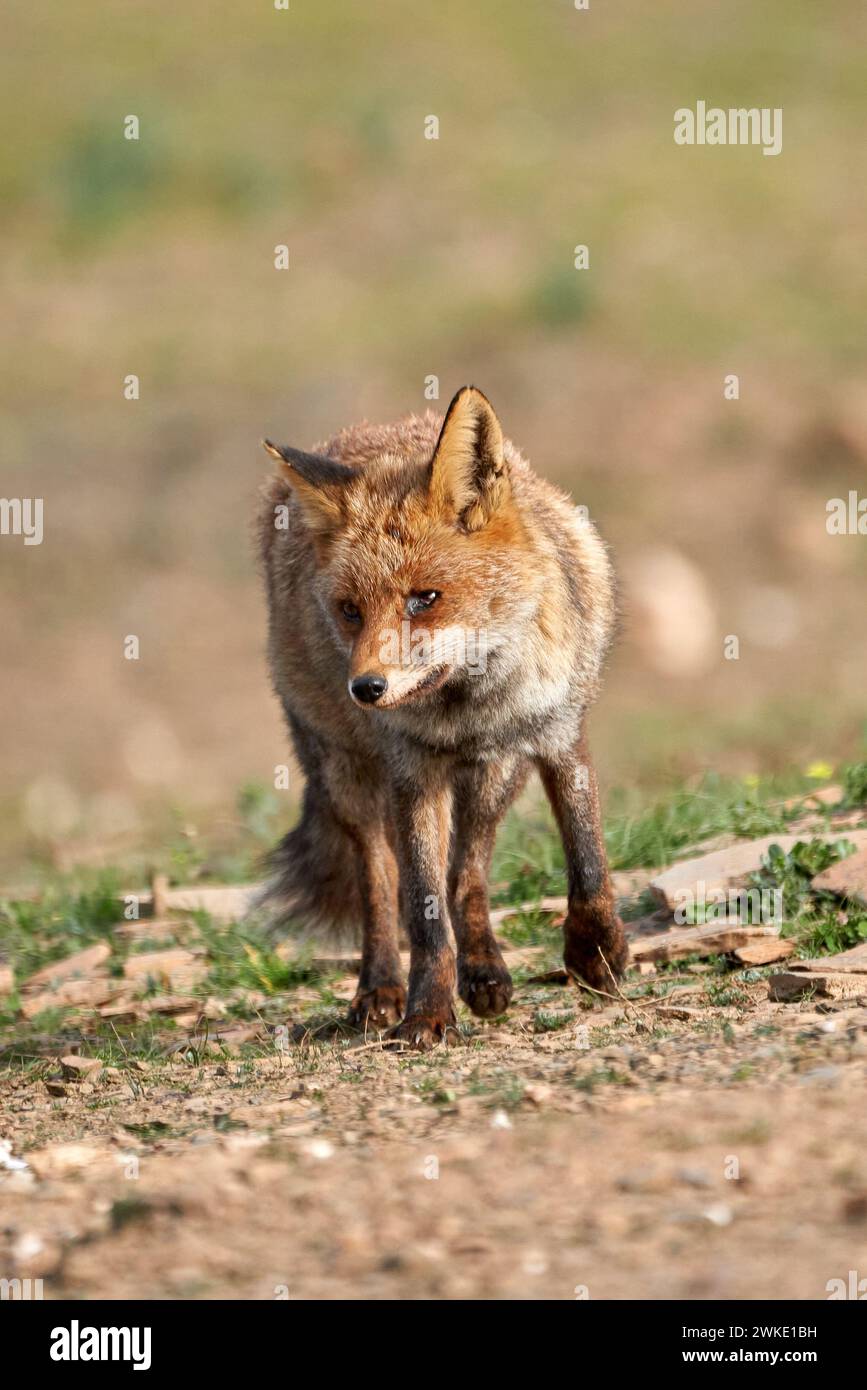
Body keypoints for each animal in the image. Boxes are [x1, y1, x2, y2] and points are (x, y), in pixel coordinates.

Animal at [257, 385, 628, 1049]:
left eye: (424, 599)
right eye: (351, 611)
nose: (366, 688)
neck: (468, 707)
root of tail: (366, 432)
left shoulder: (557, 734)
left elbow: (586, 863)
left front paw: (596, 955)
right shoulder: (413, 771)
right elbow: (424, 913)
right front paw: (427, 1013)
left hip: (495, 777)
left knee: (468, 869)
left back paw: (484, 970)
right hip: (348, 775)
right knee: (382, 882)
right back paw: (380, 989)